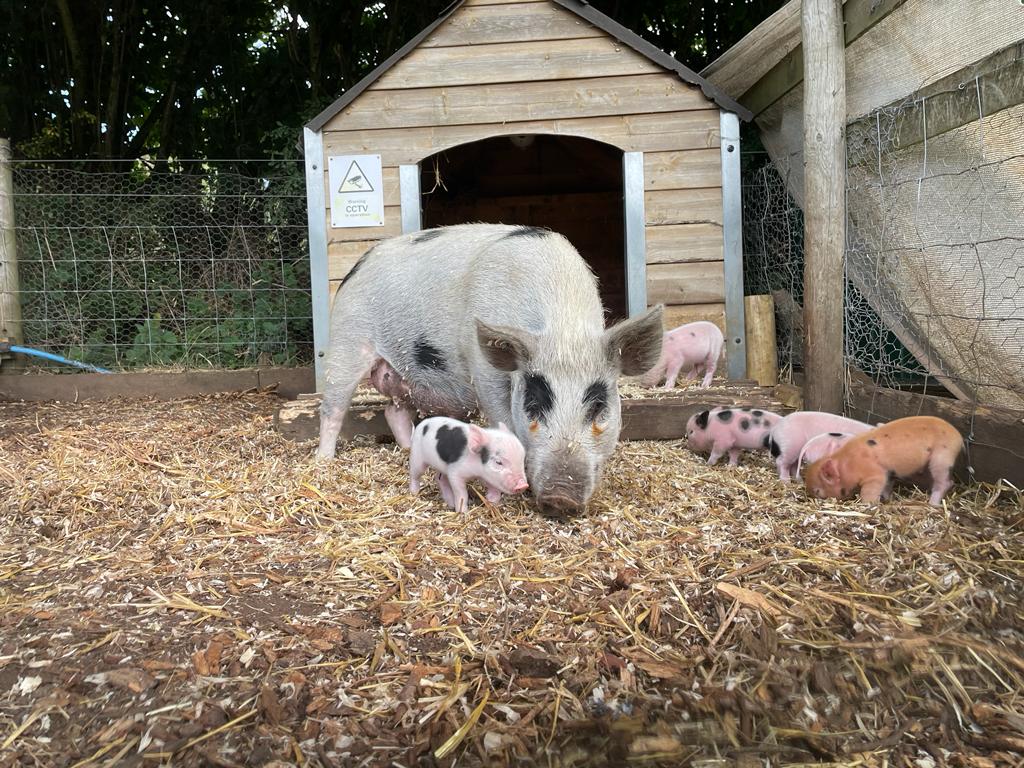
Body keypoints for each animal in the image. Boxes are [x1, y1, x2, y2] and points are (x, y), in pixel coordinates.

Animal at [317, 224, 666, 517]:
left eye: (599, 406)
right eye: (533, 403)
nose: (560, 497)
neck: (563, 330)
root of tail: (358, 265)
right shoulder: (485, 370)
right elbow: (502, 416)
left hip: (401, 377)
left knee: (394, 411)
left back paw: (406, 447)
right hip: (347, 341)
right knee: (333, 409)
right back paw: (324, 461)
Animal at [804, 416, 963, 506]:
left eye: (818, 490)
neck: (848, 464)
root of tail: (959, 437)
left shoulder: (875, 475)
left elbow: (870, 491)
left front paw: (869, 504)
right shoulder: (889, 472)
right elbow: (887, 487)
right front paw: (887, 500)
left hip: (942, 457)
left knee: (945, 482)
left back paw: (932, 503)